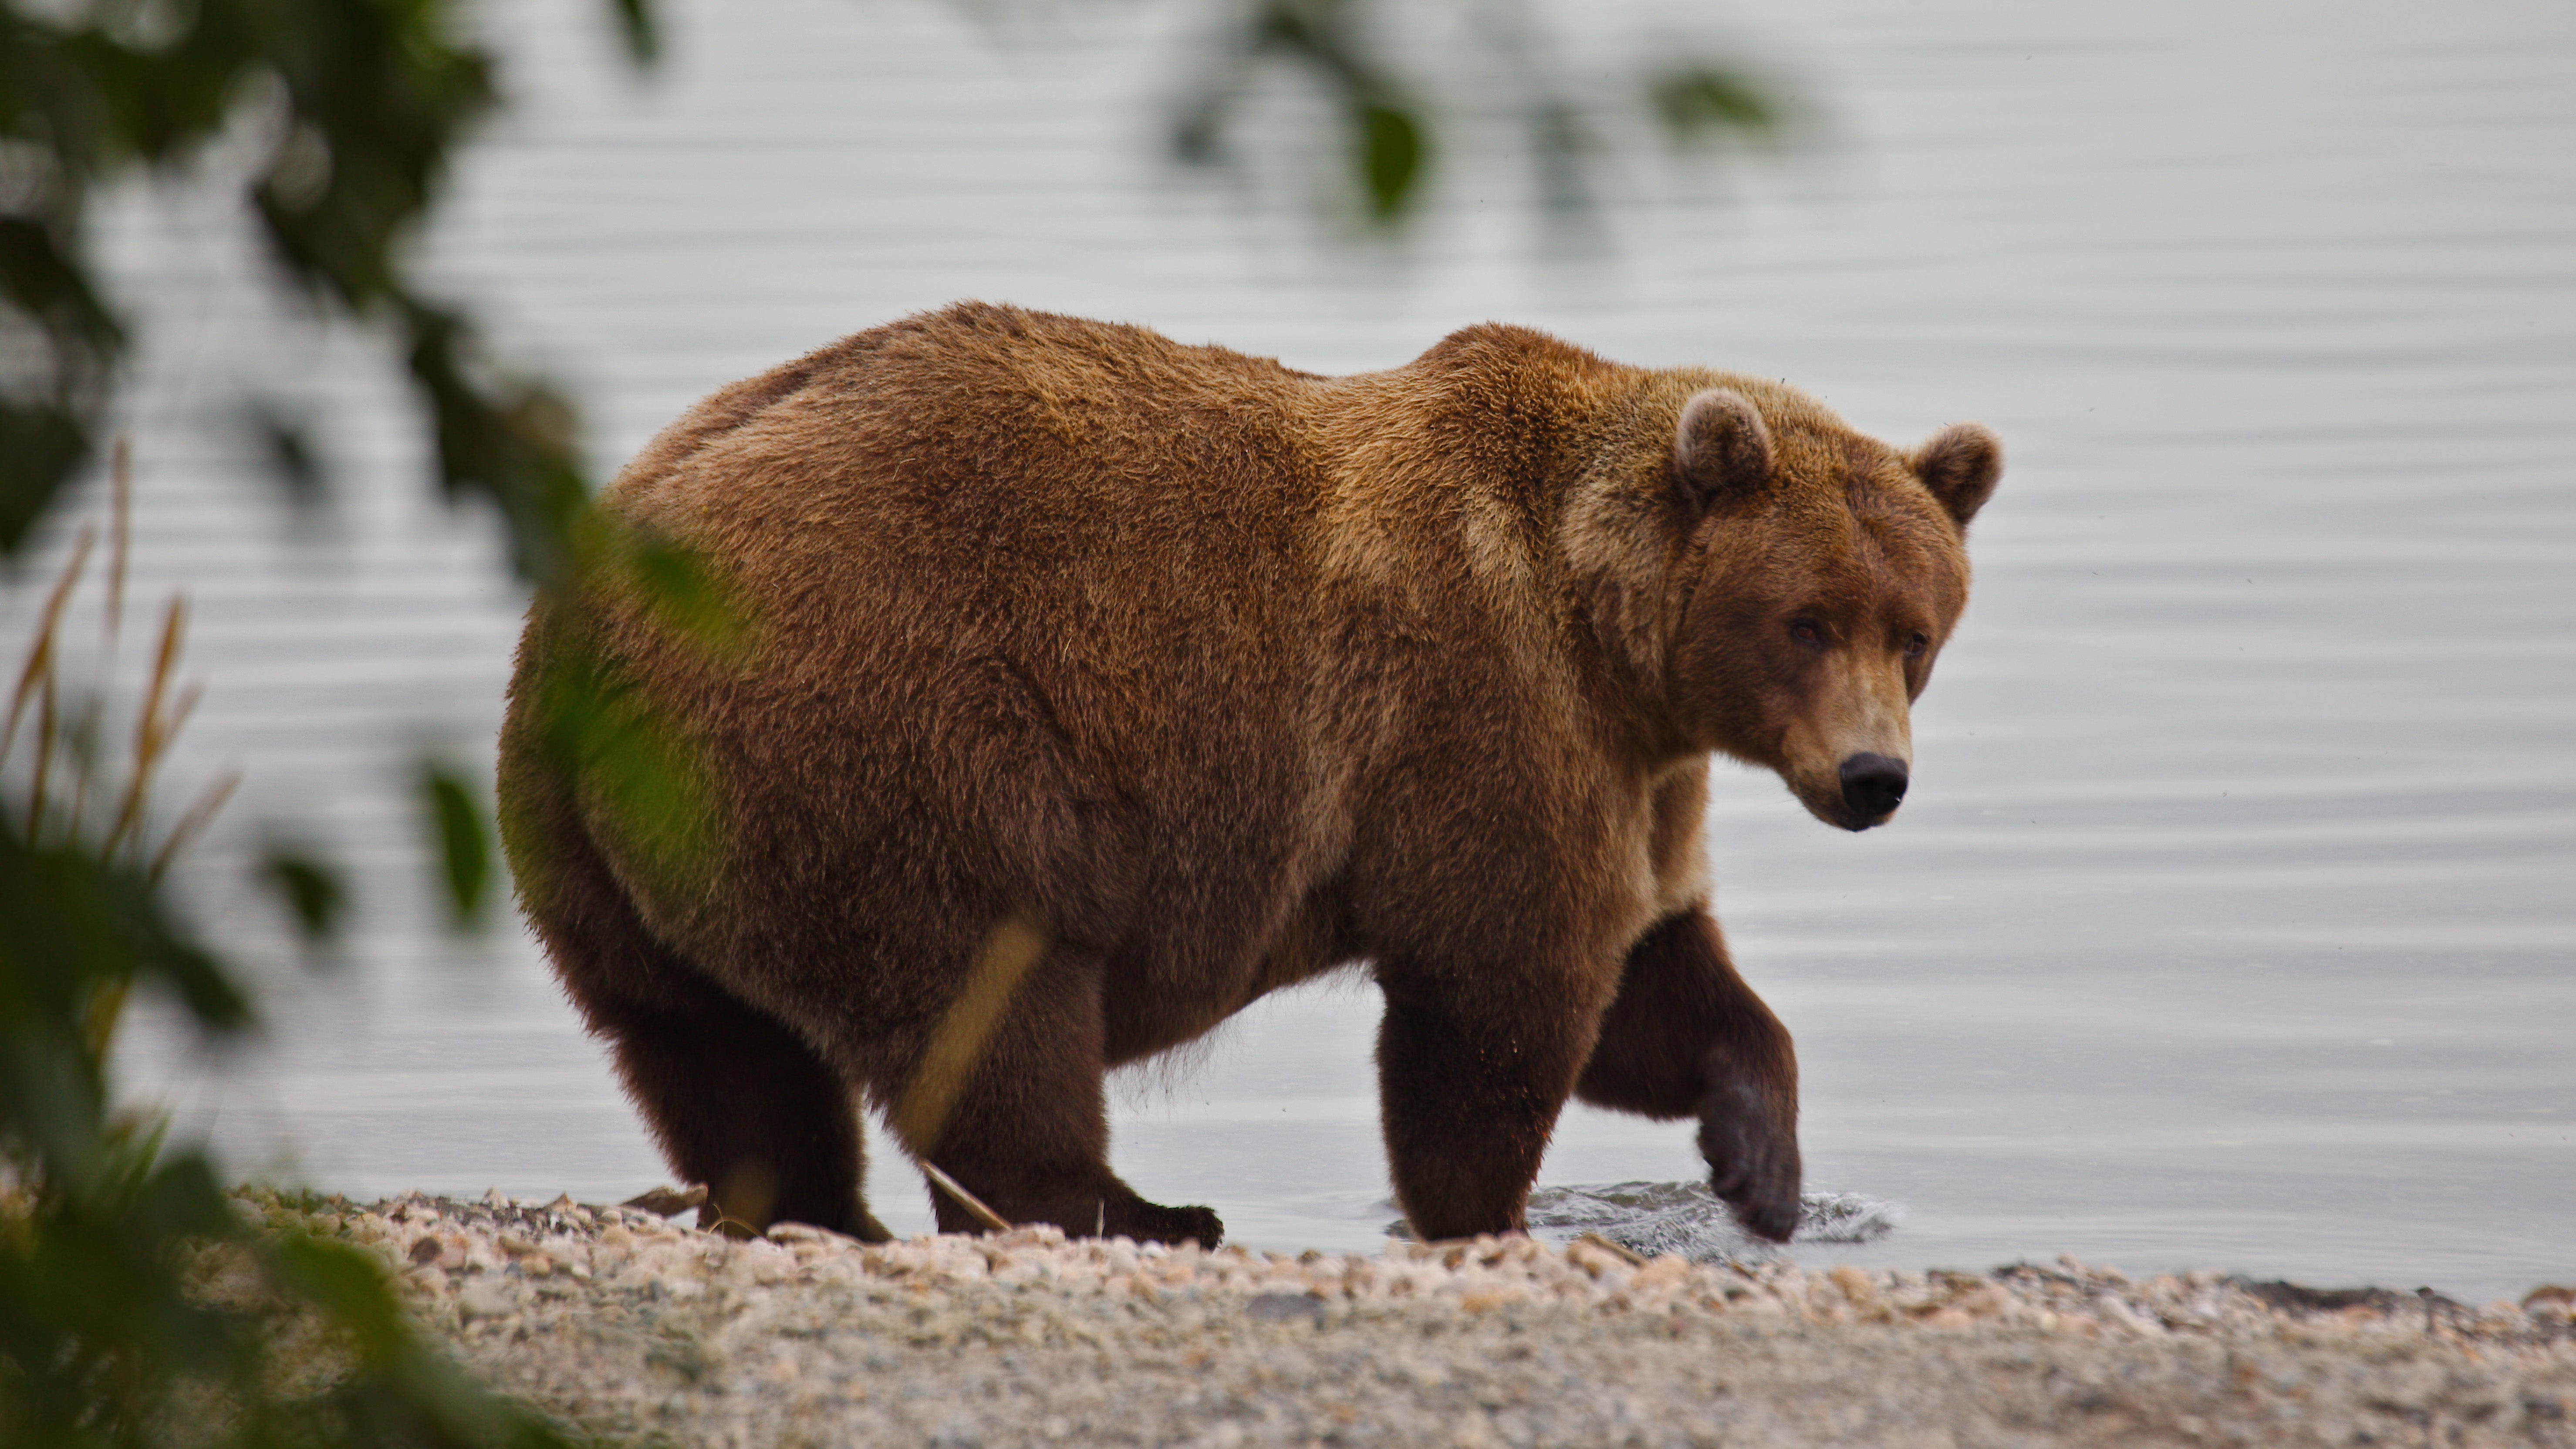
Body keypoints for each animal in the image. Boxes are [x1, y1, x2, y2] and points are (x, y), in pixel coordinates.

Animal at [495, 301, 2001, 1249]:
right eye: (1806, 620)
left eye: (1914, 630)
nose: (1873, 775)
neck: (1611, 637)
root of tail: (596, 596)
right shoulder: (1485, 708)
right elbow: (1502, 993)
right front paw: (1483, 1208)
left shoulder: (1635, 774)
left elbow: (1658, 978)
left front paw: (1762, 1166)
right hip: (897, 736)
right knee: (990, 992)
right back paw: (1139, 1207)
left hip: (612, 843)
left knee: (712, 1046)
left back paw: (813, 1203)